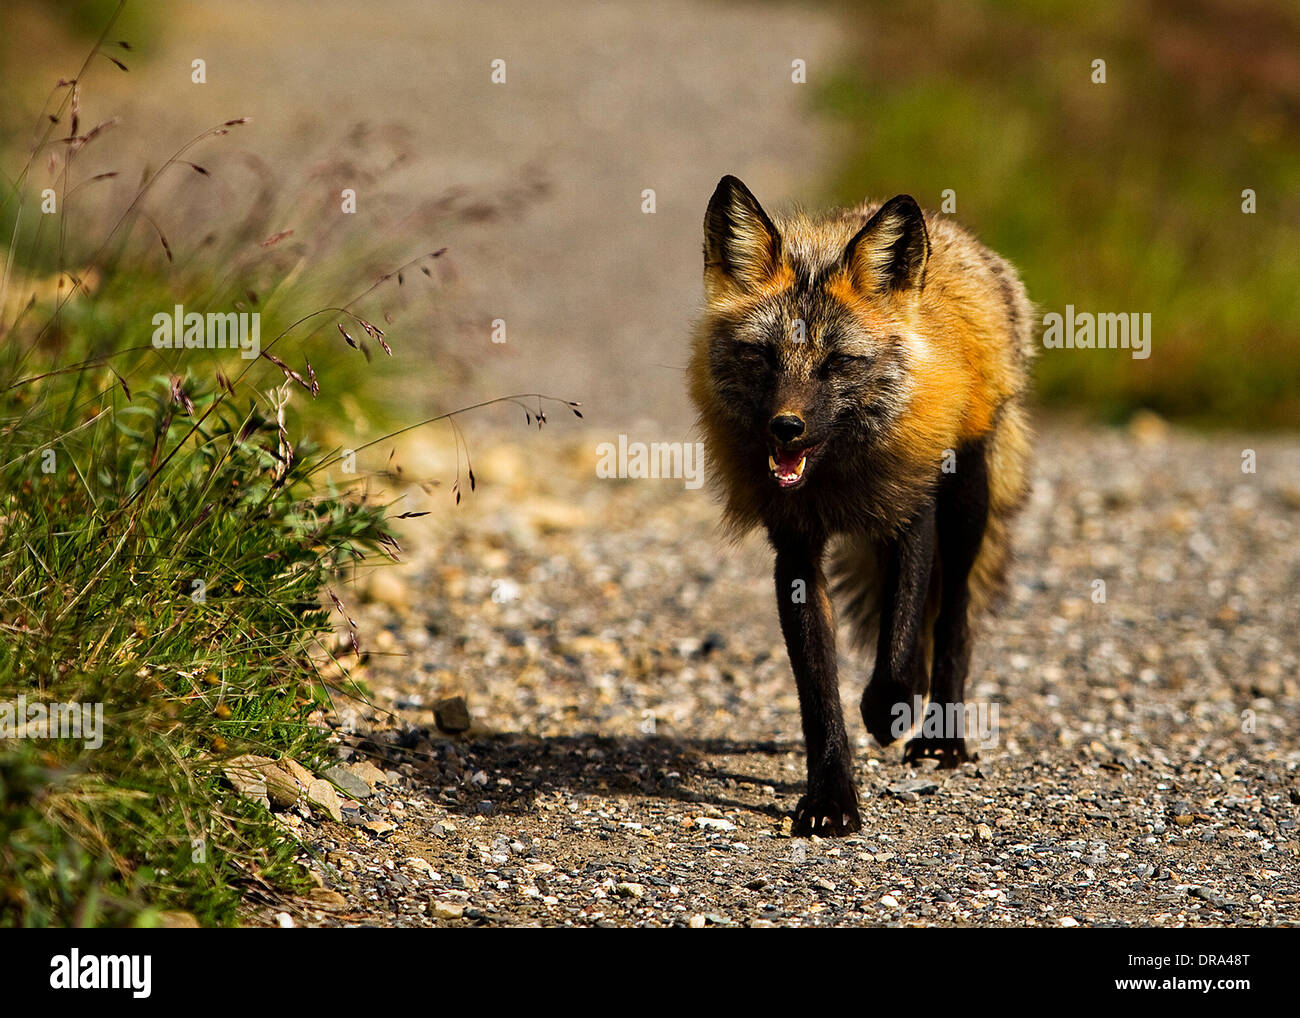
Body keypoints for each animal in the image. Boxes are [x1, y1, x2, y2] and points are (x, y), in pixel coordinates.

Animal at [688, 175, 1035, 836]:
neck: (836, 477)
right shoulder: (795, 551)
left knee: (952, 615)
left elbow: (899, 646)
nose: (786, 428)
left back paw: (940, 732)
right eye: (763, 357)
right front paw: (830, 797)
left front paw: (890, 708)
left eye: (837, 363)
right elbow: (819, 692)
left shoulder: (911, 512)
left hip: (966, 499)